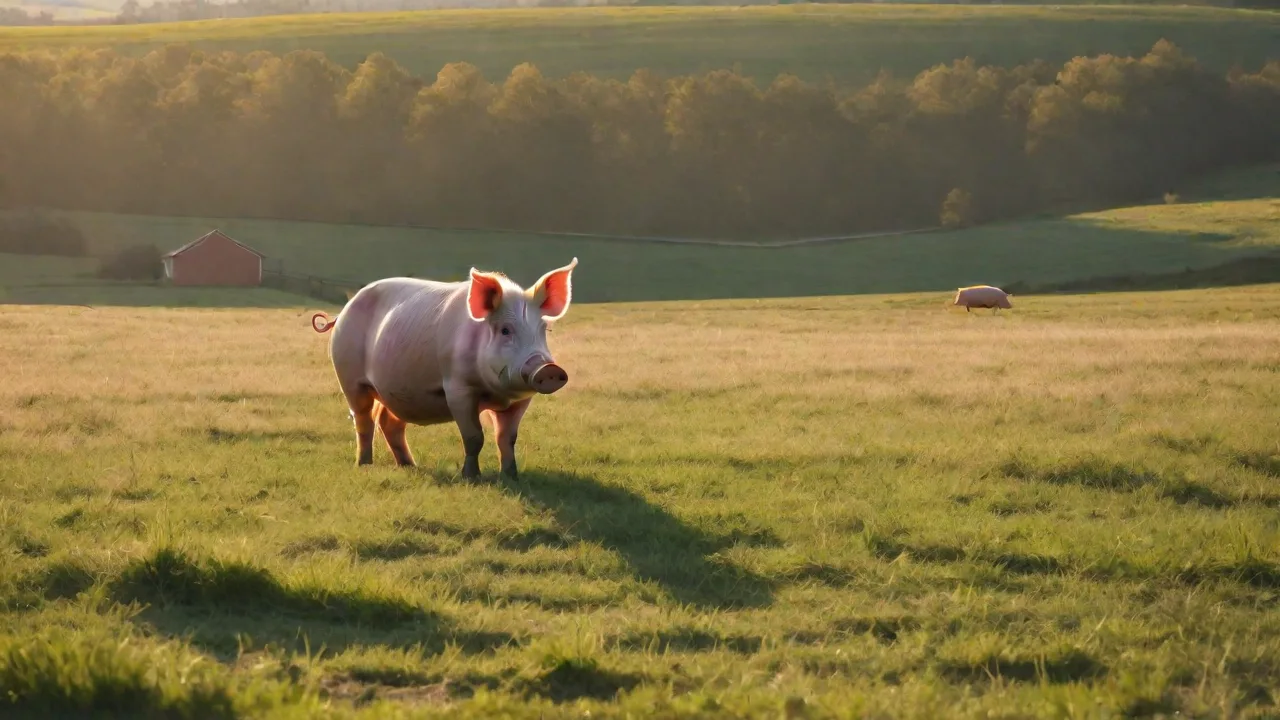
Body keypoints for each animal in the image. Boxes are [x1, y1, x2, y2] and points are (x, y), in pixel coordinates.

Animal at [311, 259, 578, 479]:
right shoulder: (458, 389)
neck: (496, 392)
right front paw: (471, 478)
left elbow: (507, 438)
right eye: (505, 330)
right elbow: (474, 437)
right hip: (350, 378)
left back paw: (410, 466)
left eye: (543, 330)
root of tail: (342, 312)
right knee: (363, 421)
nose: (548, 368)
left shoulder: (521, 400)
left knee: (389, 423)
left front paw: (511, 477)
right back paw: (364, 465)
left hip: (395, 389)